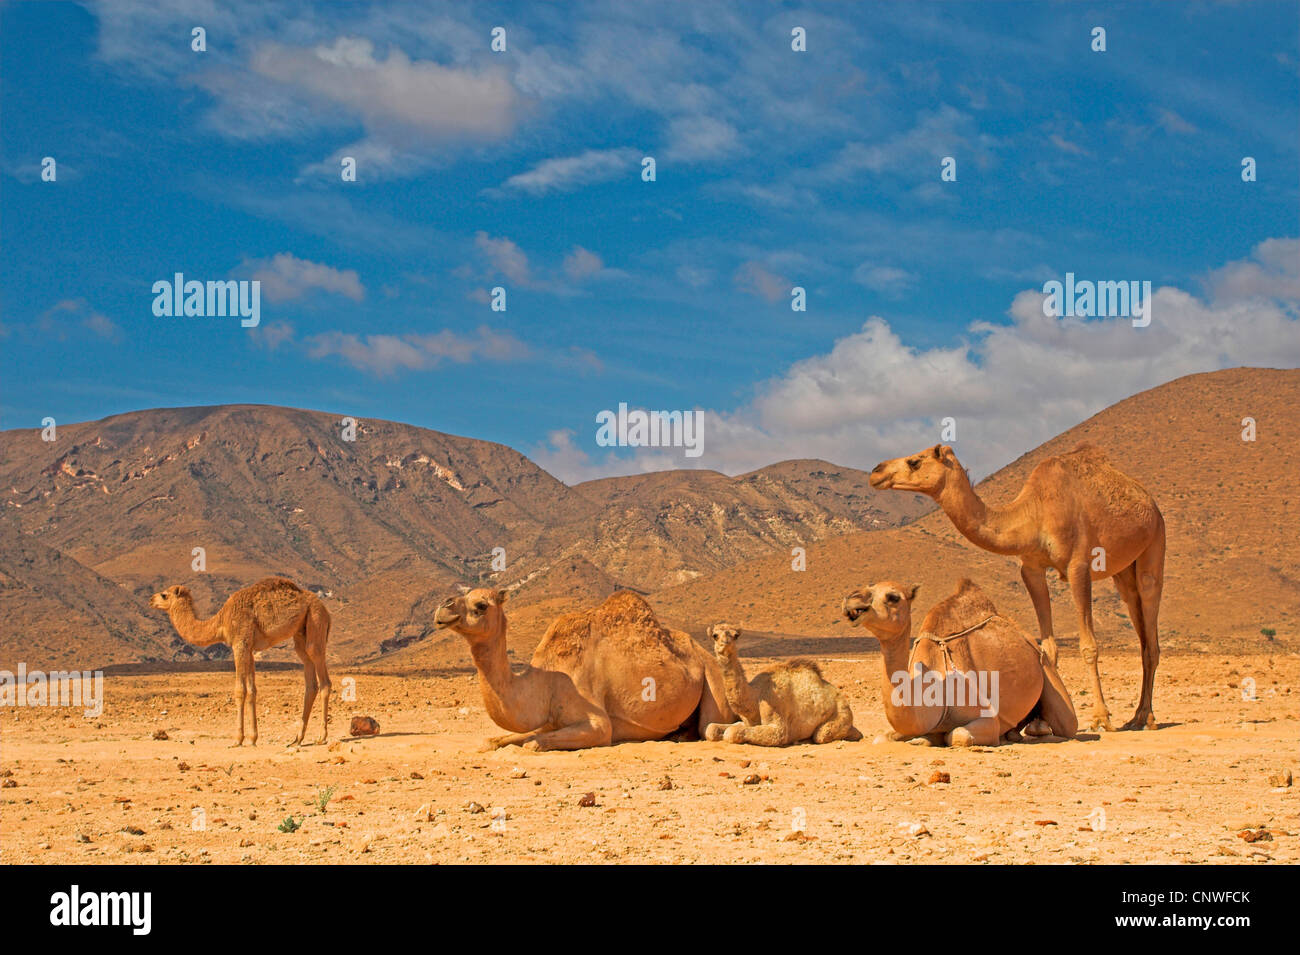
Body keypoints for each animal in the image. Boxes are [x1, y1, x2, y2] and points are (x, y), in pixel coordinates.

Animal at [150, 577, 331, 746]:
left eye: (164, 595)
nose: (151, 600)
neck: (221, 622)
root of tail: (326, 610)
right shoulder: (249, 648)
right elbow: (251, 690)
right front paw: (252, 738)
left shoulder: (240, 644)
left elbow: (239, 690)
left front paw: (237, 739)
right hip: (301, 632)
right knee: (309, 678)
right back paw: (297, 739)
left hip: (316, 619)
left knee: (322, 675)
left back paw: (321, 737)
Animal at [433, 588, 733, 751]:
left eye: (481, 605)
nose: (442, 607)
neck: (544, 681)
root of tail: (702, 652)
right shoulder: (551, 720)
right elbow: (497, 740)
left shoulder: (598, 725)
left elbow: (533, 743)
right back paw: (677, 735)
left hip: (712, 675)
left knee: (709, 726)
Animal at [703, 624, 862, 745]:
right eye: (715, 635)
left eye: (736, 635)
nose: (725, 643)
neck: (754, 696)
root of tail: (845, 702)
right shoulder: (747, 722)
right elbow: (711, 729)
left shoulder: (777, 723)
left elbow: (731, 732)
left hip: (841, 716)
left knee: (821, 735)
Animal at [842, 578, 1078, 746]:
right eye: (869, 585)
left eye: (892, 597)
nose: (851, 599)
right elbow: (881, 737)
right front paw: (923, 739)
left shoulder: (987, 717)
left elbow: (957, 736)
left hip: (1045, 666)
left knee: (1067, 725)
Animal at [869, 443, 1164, 732]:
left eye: (915, 461)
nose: (875, 471)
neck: (1035, 514)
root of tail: (1150, 501)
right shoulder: (1031, 567)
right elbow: (1049, 647)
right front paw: (1039, 720)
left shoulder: (1078, 566)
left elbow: (1088, 646)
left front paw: (1101, 719)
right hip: (1124, 571)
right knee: (1138, 619)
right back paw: (1137, 716)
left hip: (1154, 543)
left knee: (1150, 617)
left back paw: (1146, 717)